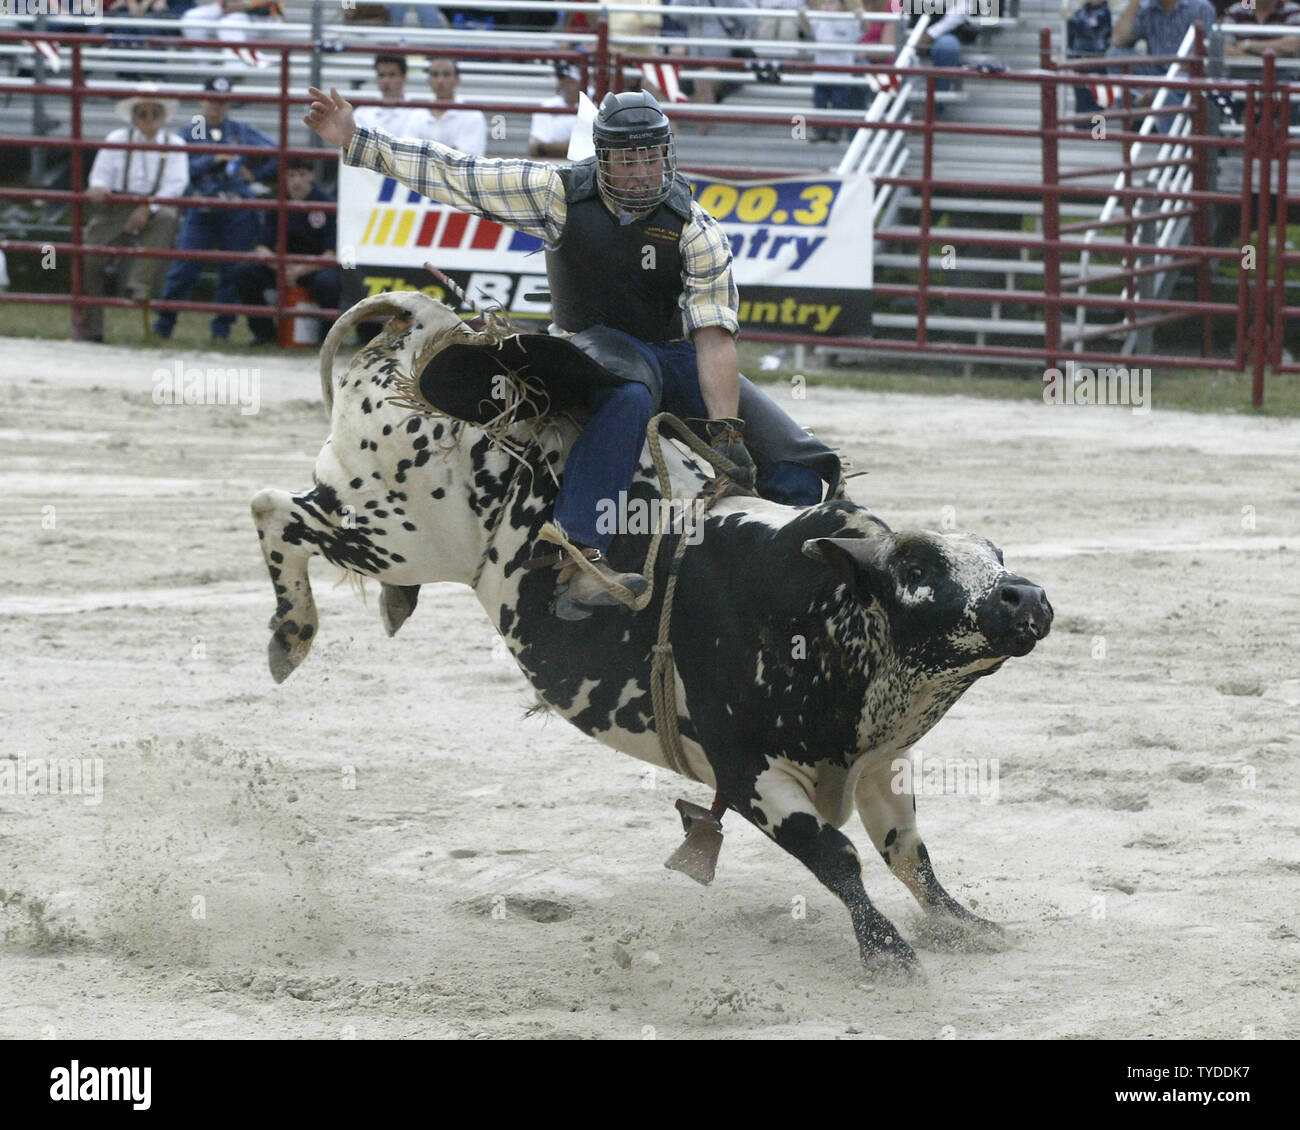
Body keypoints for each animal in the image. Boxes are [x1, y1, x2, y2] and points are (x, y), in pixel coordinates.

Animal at [251, 291, 1053, 975]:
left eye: (996, 555)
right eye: (917, 564)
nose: (1027, 596)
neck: (815, 613)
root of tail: (429, 322)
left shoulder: (881, 763)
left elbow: (906, 851)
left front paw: (966, 926)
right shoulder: (745, 770)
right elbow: (835, 857)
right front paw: (887, 954)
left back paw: (390, 606)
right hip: (395, 529)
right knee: (274, 508)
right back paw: (291, 634)